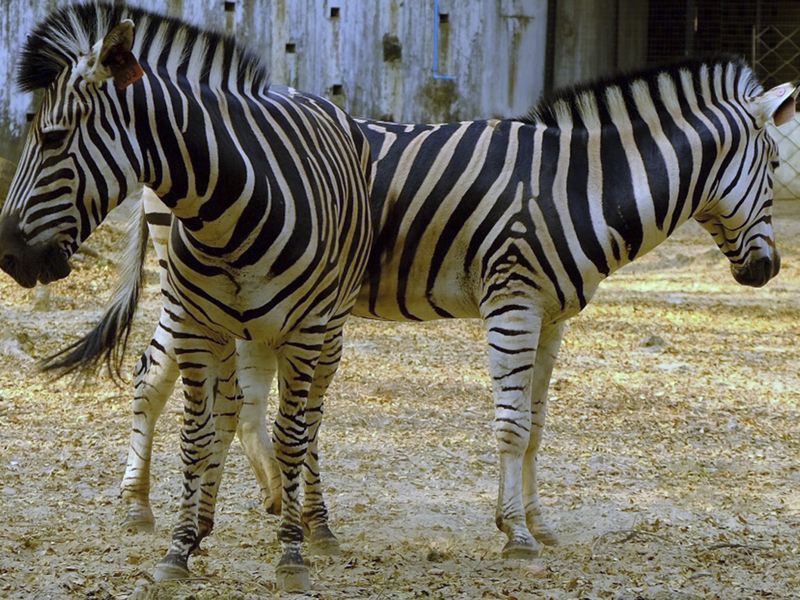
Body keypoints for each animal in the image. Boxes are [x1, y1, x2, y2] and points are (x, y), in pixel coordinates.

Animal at [0, 2, 372, 593]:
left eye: (54, 139)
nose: (7, 253)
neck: (229, 203)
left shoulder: (302, 332)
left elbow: (293, 435)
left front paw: (290, 554)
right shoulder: (199, 325)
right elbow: (197, 433)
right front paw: (178, 548)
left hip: (326, 330)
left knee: (308, 418)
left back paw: (315, 524)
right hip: (218, 320)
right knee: (218, 399)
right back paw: (197, 516)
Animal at [52, 57, 796, 562]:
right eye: (773, 167)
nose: (768, 271)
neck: (577, 187)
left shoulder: (553, 315)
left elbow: (537, 425)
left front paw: (538, 520)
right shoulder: (513, 301)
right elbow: (510, 426)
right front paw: (515, 533)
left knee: (231, 396)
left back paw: (259, 500)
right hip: (192, 288)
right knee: (153, 379)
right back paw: (143, 505)